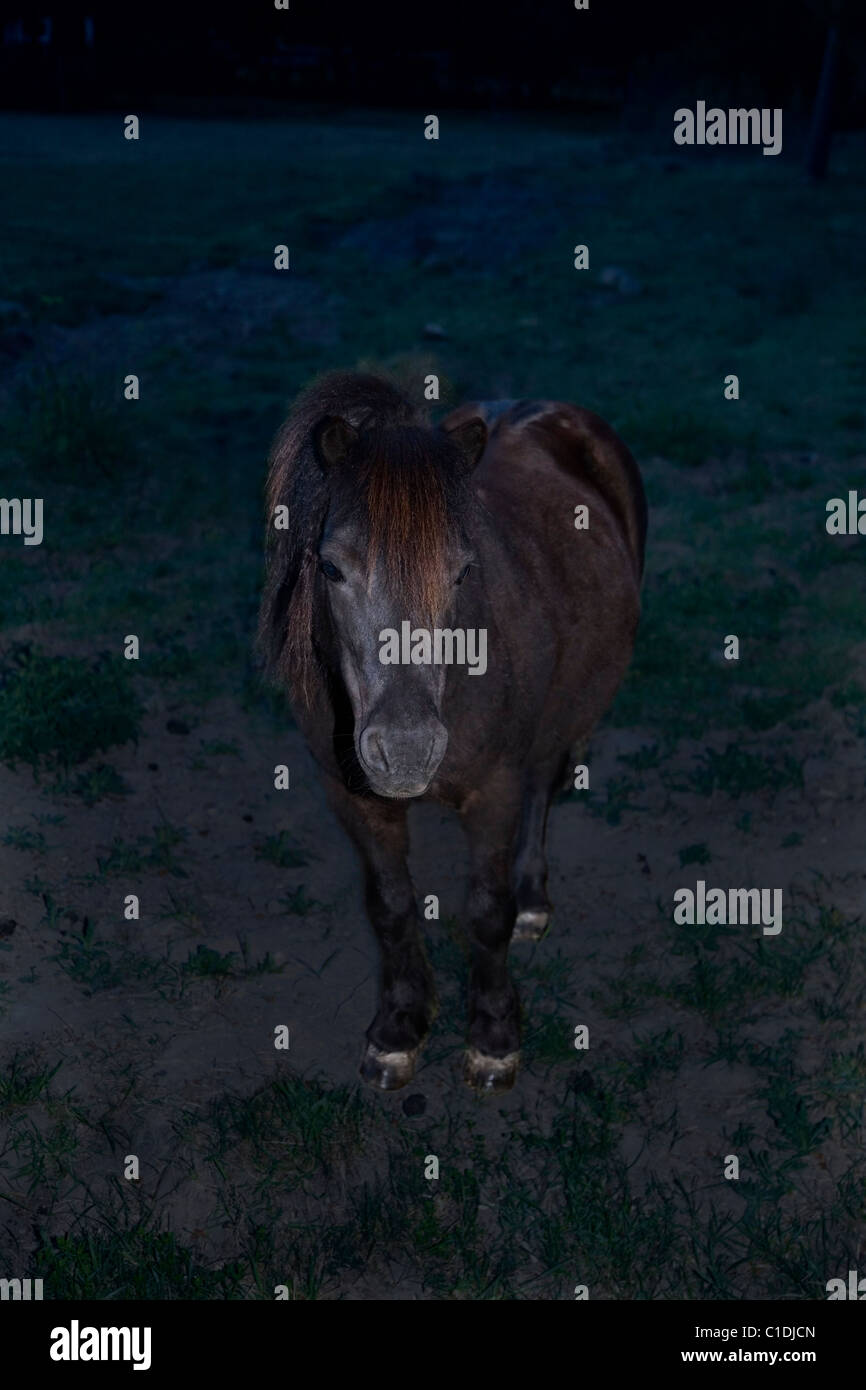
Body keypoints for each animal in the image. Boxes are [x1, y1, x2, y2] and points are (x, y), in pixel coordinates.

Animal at [258, 371, 647, 1093]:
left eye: (463, 570)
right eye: (332, 568)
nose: (407, 750)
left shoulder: (493, 793)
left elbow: (486, 913)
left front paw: (493, 1038)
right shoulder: (350, 796)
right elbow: (390, 905)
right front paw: (398, 1029)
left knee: (543, 785)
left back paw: (533, 900)